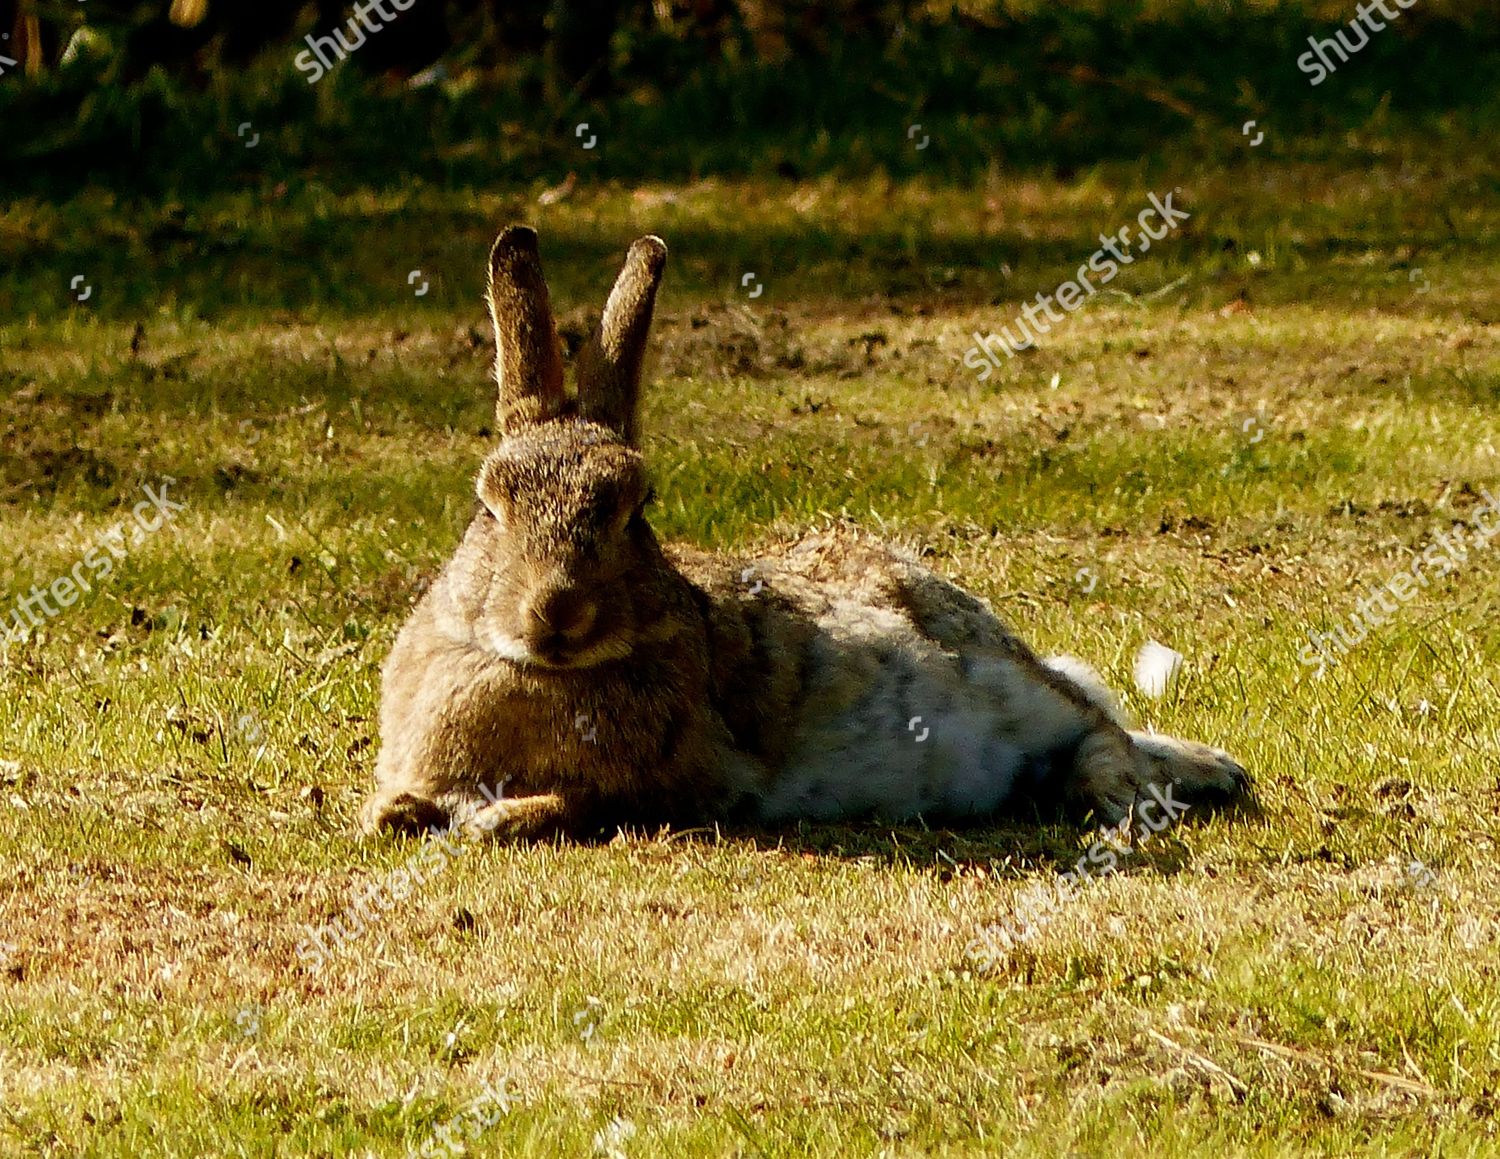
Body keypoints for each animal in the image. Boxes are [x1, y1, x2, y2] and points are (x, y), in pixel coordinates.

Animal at [358, 226, 1248, 842]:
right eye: (489, 505)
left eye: (636, 506)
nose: (558, 611)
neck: (534, 669)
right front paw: (397, 812)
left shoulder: (676, 781)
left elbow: (575, 803)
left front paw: (489, 820)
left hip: (1006, 674)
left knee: (1099, 726)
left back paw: (1146, 792)